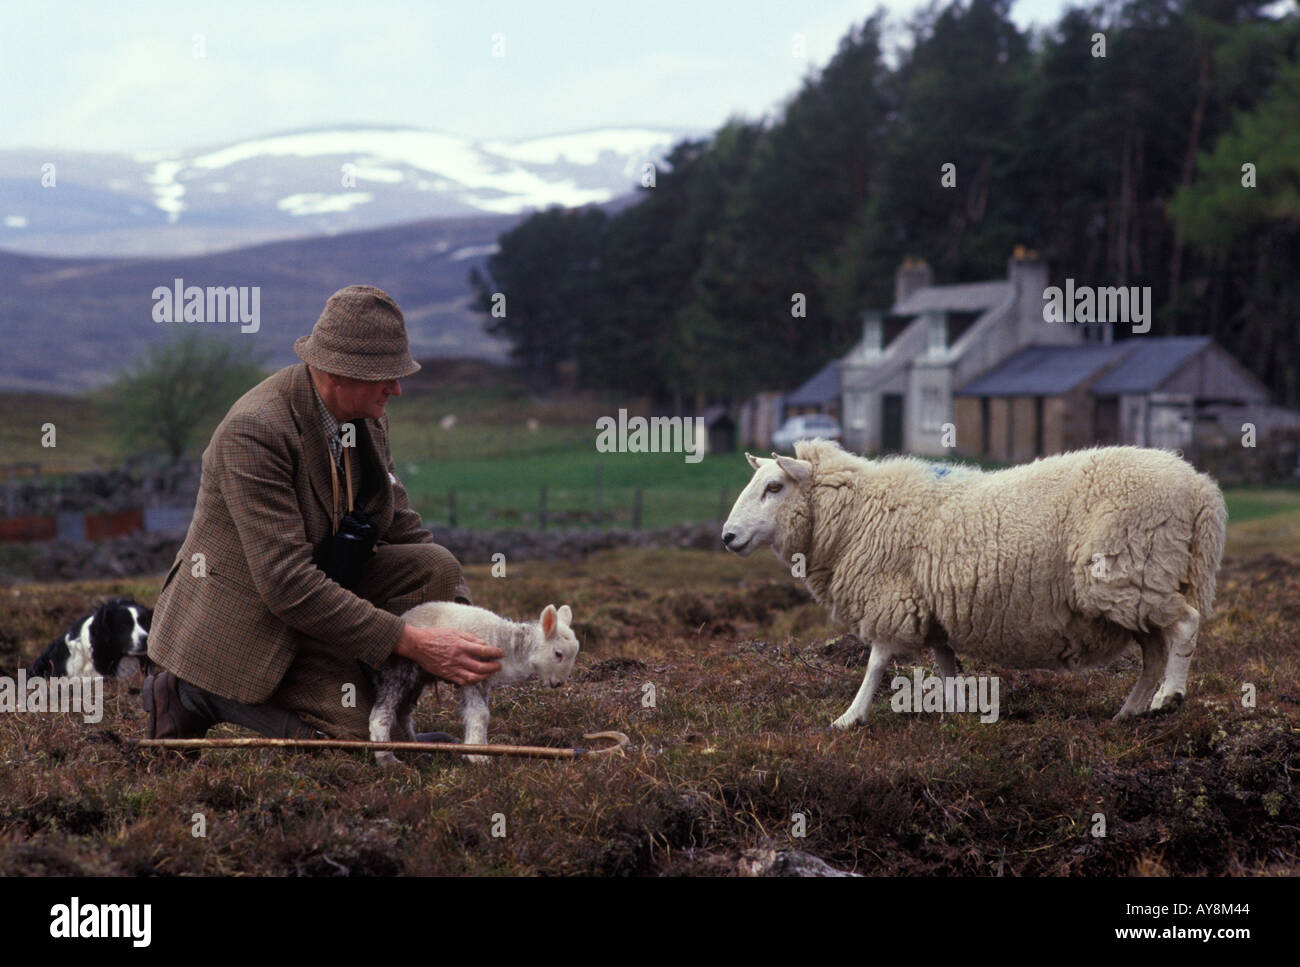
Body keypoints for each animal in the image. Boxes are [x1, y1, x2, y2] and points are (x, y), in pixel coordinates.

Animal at [367, 602, 579, 764]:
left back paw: (416, 750)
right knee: (381, 714)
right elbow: (480, 713)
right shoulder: (471, 674)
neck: (507, 645)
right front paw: (477, 756)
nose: (559, 683)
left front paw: (479, 749)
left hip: (418, 678)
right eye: (558, 654)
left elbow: (482, 714)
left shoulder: (484, 680)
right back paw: (387, 759)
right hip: (399, 670)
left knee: (403, 713)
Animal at [722, 440, 1226, 728]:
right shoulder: (933, 608)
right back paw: (1132, 710)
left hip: (1127, 572)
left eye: (773, 487)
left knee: (1184, 625)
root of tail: (1201, 488)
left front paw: (850, 717)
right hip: (1138, 585)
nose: (727, 537)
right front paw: (959, 709)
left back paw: (1170, 697)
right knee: (1153, 650)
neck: (857, 514)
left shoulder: (890, 596)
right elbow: (947, 665)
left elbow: (876, 662)